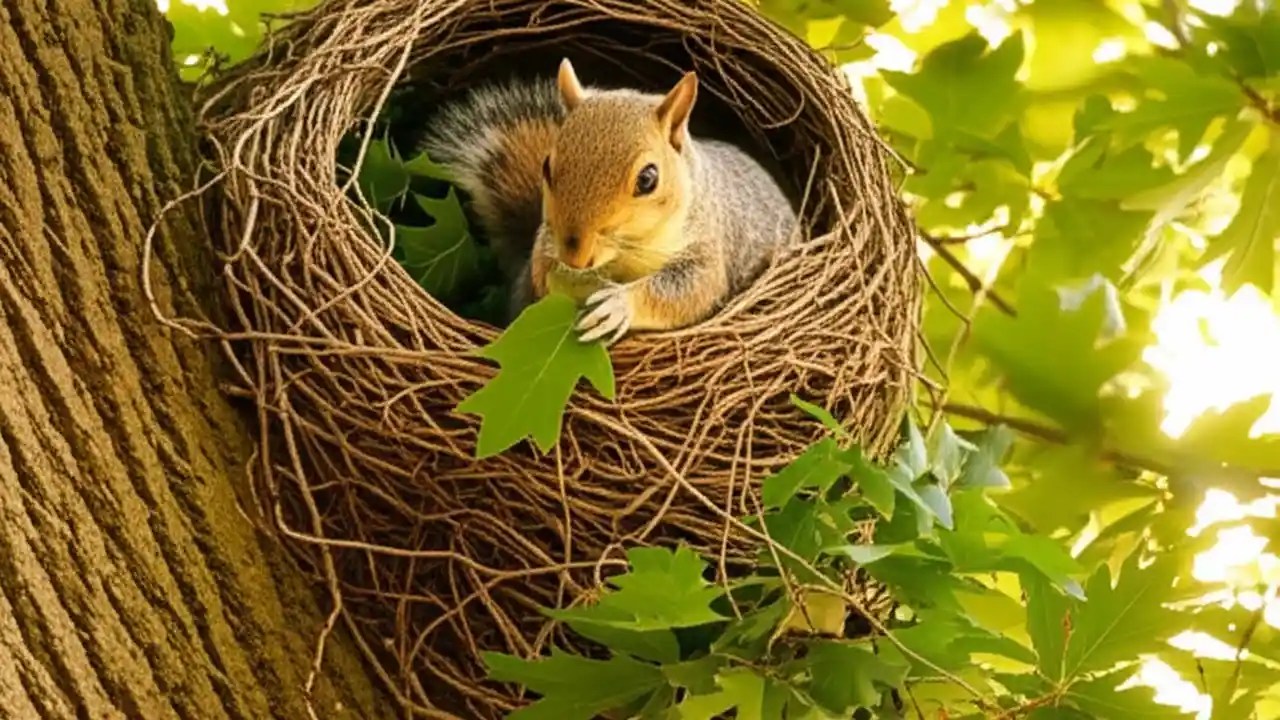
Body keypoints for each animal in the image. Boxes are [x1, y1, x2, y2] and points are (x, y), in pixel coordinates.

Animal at [417, 59, 798, 344]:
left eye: (648, 179)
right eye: (546, 165)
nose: (575, 256)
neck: (626, 253)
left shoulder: (706, 245)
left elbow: (691, 291)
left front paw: (618, 304)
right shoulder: (545, 240)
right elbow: (542, 271)